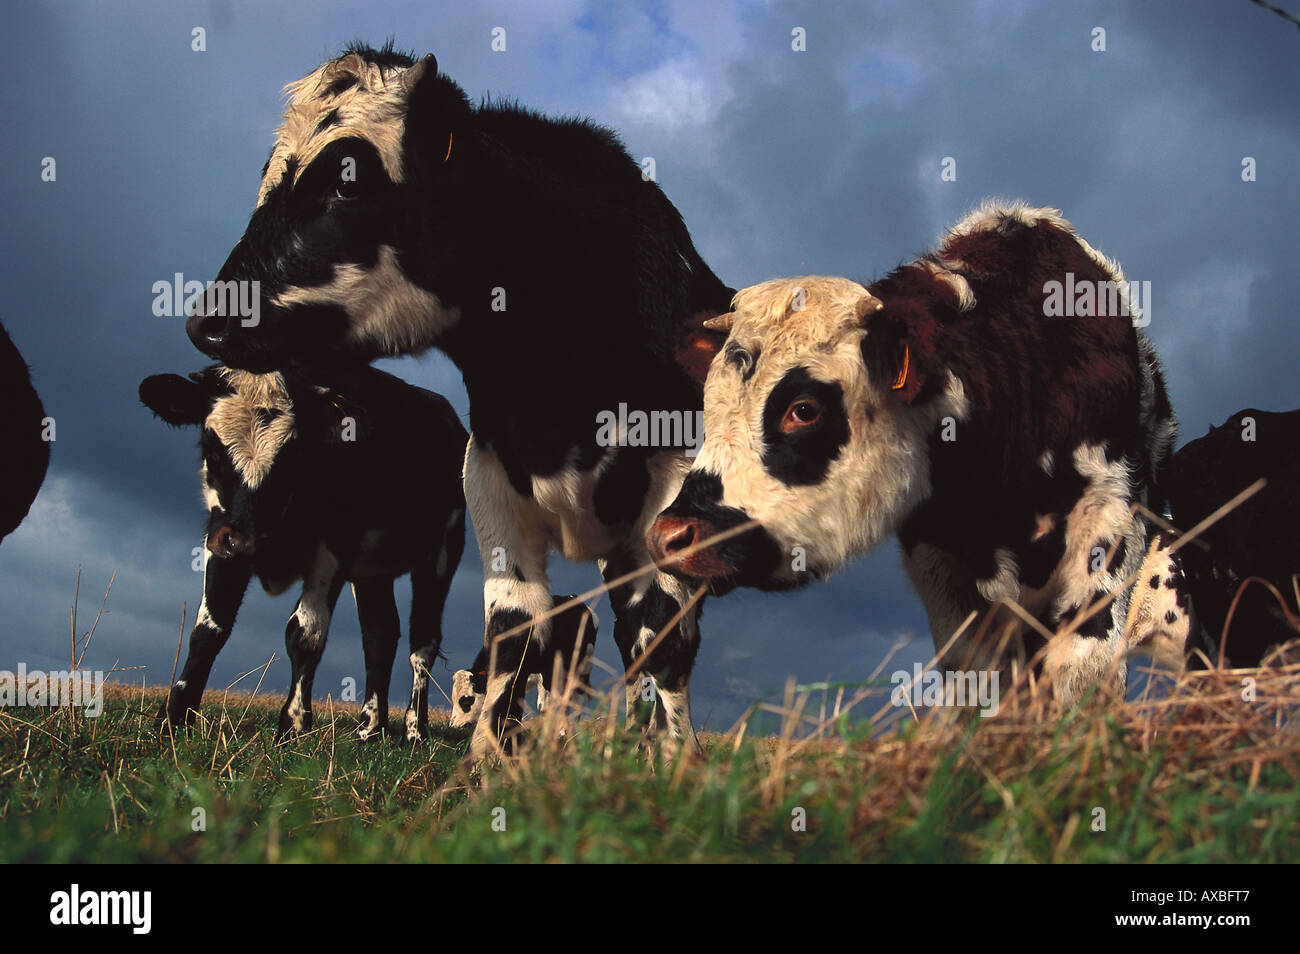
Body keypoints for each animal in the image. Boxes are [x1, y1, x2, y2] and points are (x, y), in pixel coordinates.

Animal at [140, 363, 467, 741]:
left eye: (292, 455)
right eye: (212, 447)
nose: (247, 542)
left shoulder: (331, 551)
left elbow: (304, 634)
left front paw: (294, 723)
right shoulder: (220, 537)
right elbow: (209, 630)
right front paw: (173, 718)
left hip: (442, 554)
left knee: (423, 643)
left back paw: (414, 730)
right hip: (372, 571)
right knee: (380, 635)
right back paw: (370, 727)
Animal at [647, 201, 1181, 705]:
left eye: (803, 409)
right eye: (710, 404)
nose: (668, 535)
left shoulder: (1108, 536)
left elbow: (1079, 679)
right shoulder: (944, 570)